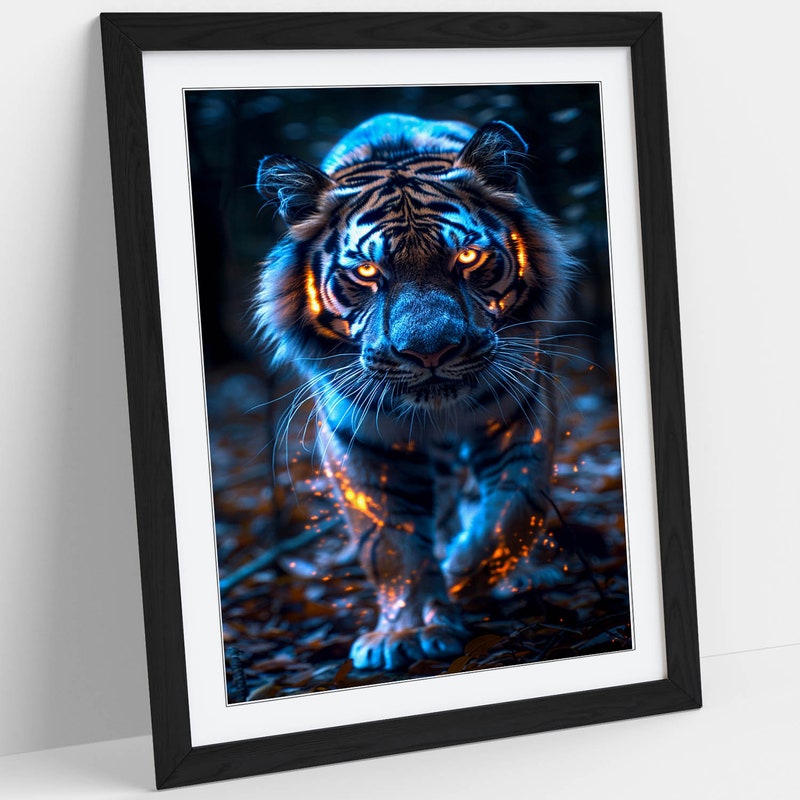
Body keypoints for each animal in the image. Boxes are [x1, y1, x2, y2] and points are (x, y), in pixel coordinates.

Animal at [254, 113, 576, 671]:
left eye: (467, 256)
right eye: (366, 272)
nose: (431, 352)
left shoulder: (522, 408)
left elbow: (513, 511)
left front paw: (466, 572)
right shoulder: (361, 438)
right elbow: (389, 543)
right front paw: (408, 632)